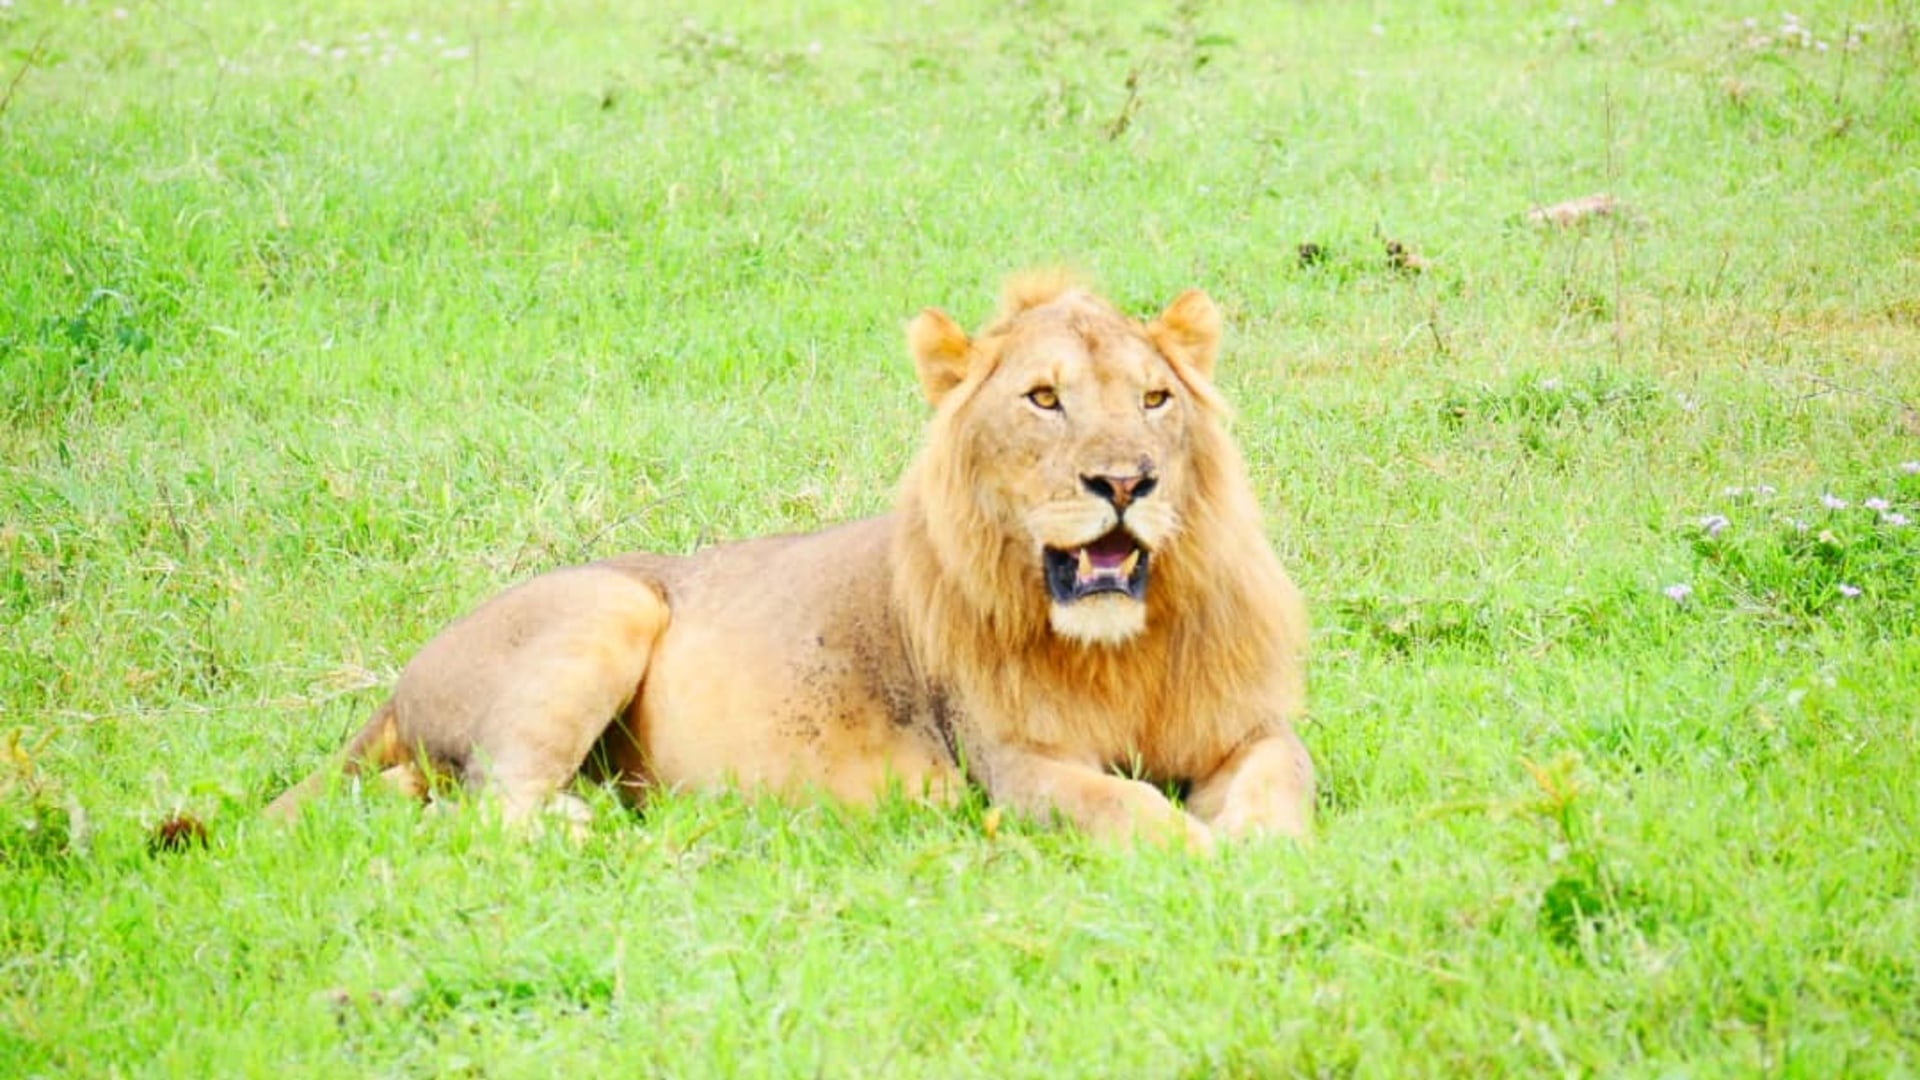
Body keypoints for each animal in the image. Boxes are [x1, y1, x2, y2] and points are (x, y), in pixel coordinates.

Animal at [266, 275, 1314, 848]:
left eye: (1154, 400)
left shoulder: (1244, 725)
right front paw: (1208, 858)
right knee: (490, 807)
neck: (1119, 648)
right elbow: (1125, 809)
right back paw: (600, 823)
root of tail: (399, 684)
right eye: (1044, 399)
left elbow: (1285, 773)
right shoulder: (1014, 767)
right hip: (609, 607)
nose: (1126, 481)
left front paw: (1265, 853)